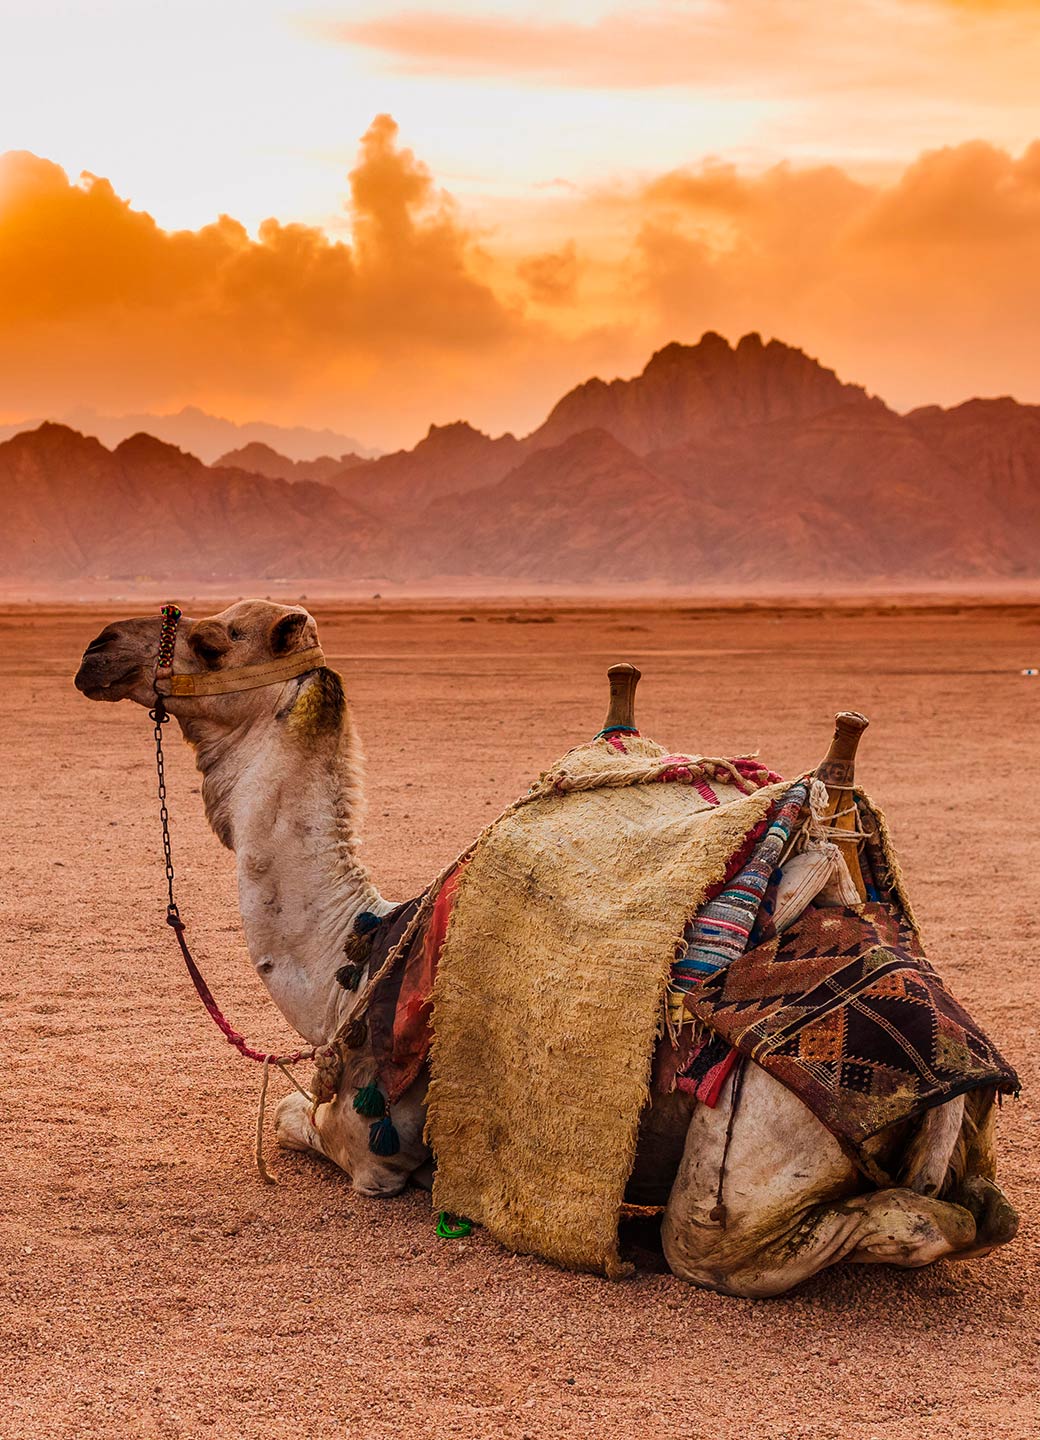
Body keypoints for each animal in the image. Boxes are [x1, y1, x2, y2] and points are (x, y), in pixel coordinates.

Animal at [75, 599, 1018, 1297]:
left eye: (211, 638)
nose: (98, 648)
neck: (354, 952)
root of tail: (956, 1071)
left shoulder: (371, 1143)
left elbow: (292, 1119)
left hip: (748, 1163)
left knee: (785, 1235)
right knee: (987, 1211)